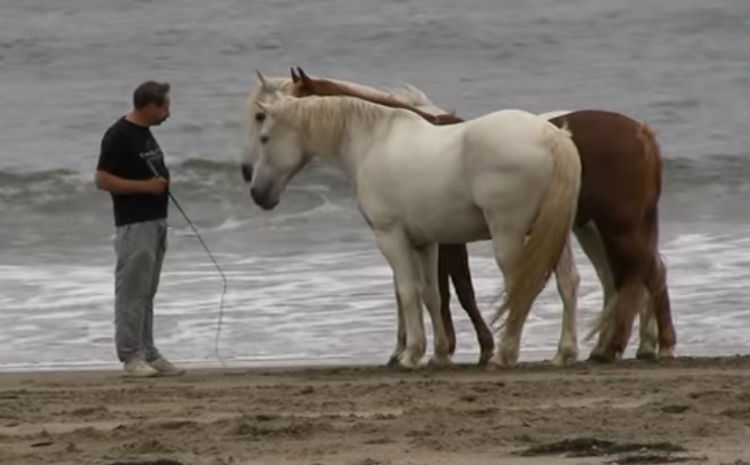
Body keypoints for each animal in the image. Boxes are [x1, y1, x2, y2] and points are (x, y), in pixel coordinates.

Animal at [247, 94, 580, 368]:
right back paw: (563, 353)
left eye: (264, 138)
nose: (257, 194)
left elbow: (408, 292)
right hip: (555, 235)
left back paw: (505, 354)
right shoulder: (425, 243)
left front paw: (410, 354)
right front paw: (439, 353)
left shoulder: (390, 237)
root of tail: (552, 136)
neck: (371, 143)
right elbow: (431, 295)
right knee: (568, 283)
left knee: (519, 286)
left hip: (508, 234)